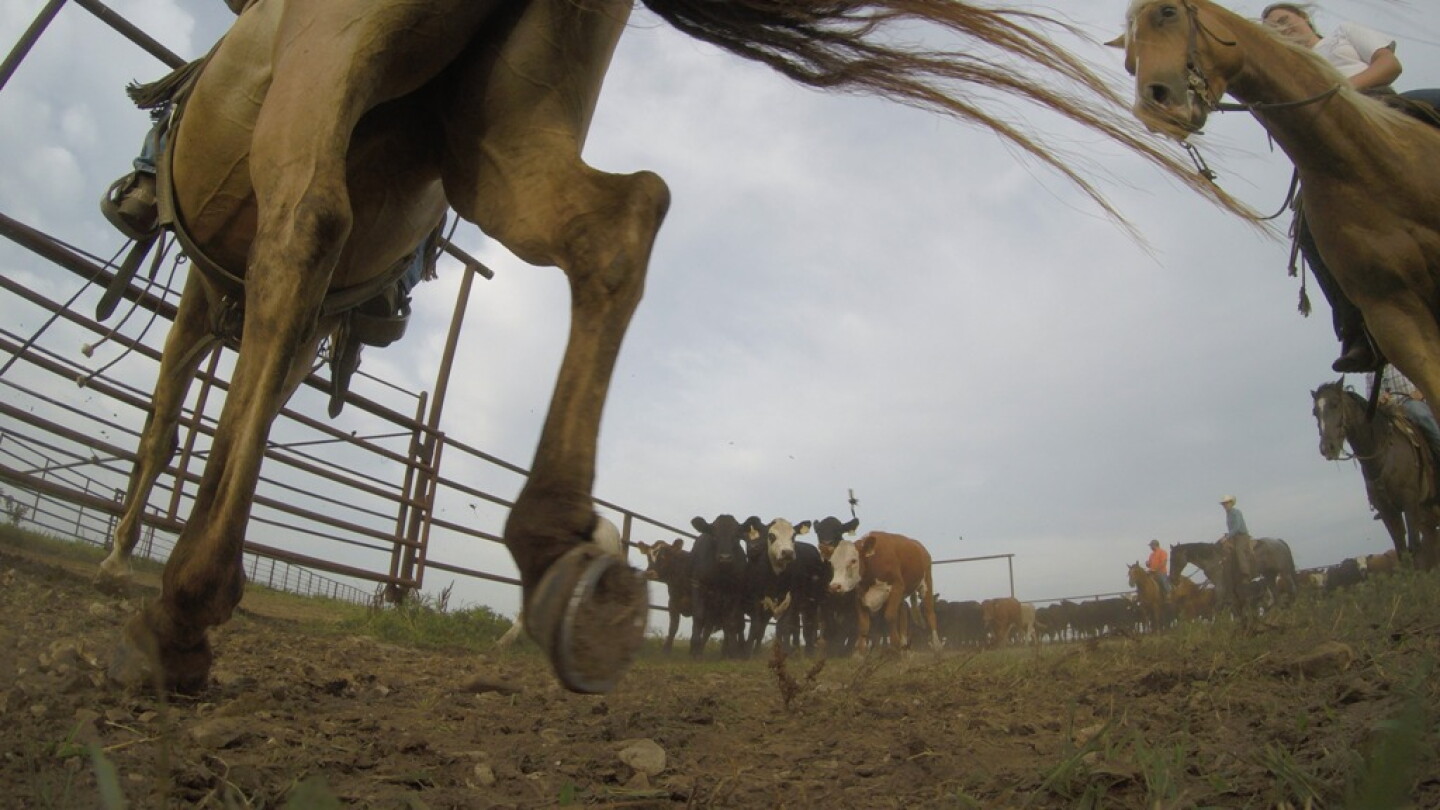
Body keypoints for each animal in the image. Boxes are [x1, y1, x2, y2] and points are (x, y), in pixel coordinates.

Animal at [689, 515, 751, 658]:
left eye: (736, 536)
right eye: (714, 535)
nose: (725, 558)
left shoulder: (736, 592)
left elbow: (732, 622)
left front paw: (734, 652)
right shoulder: (697, 584)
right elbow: (699, 616)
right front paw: (695, 649)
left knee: (737, 625)